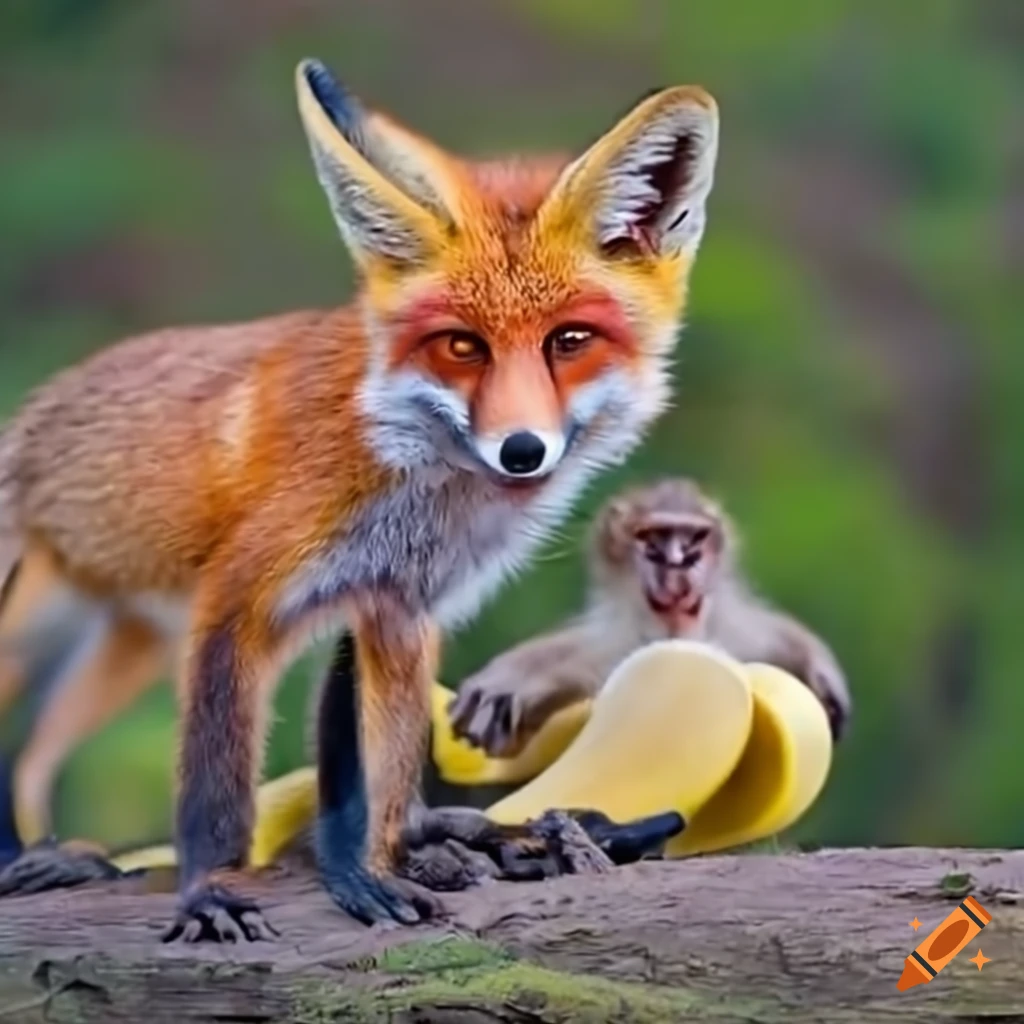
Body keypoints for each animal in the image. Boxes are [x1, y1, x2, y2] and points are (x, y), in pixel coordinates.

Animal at [0, 59, 719, 941]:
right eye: (461, 346)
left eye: (570, 341)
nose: (521, 449)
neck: (410, 483)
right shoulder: (239, 600)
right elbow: (216, 786)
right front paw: (211, 890)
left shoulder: (395, 607)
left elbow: (383, 771)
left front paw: (394, 860)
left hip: (125, 648)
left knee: (30, 760)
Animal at [449, 477, 852, 759]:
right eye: (651, 538)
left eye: (695, 537)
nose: (677, 562)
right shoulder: (601, 650)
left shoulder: (737, 636)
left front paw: (815, 663)